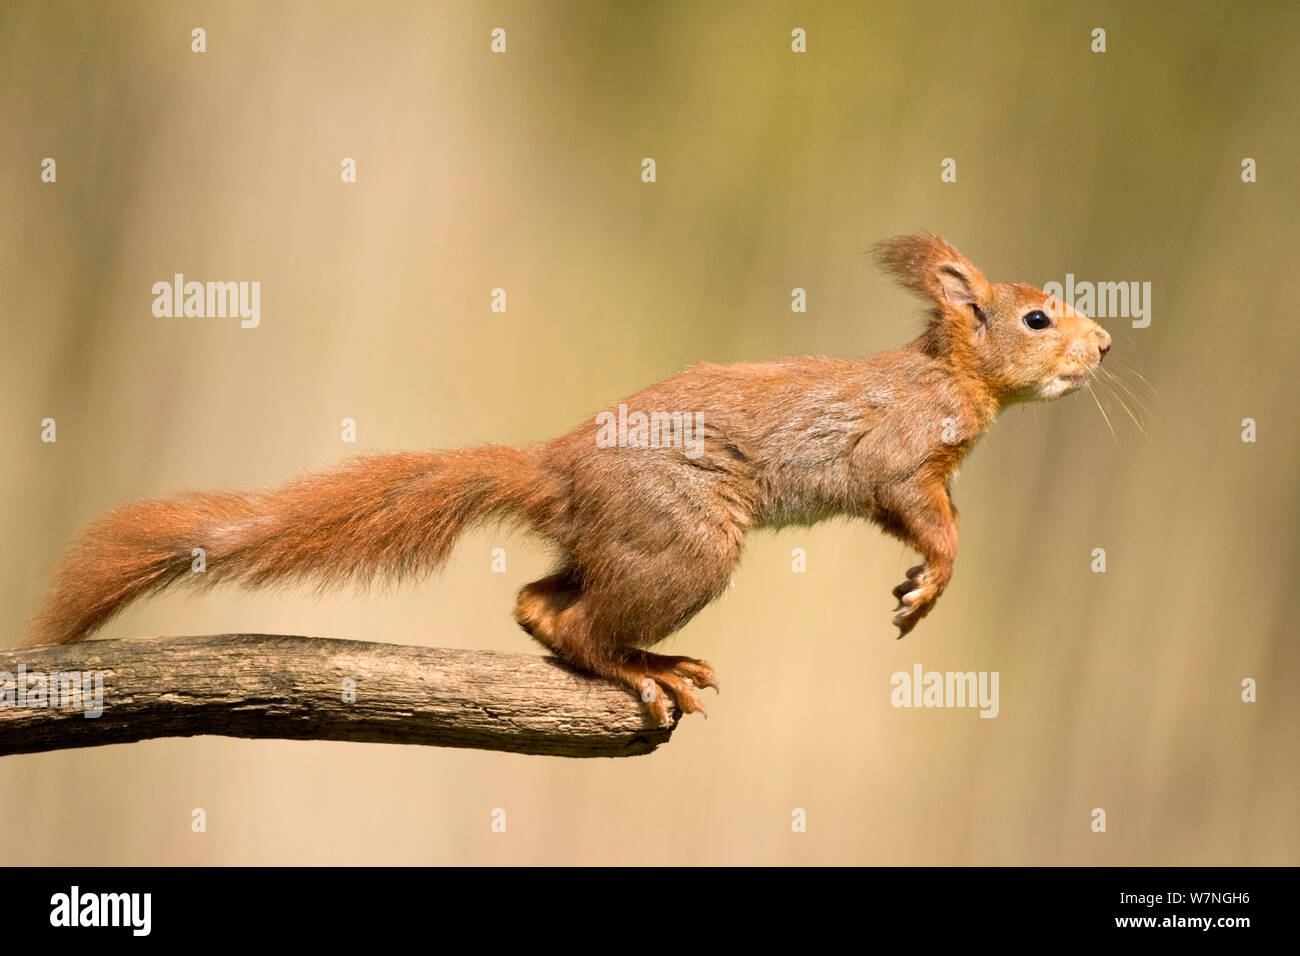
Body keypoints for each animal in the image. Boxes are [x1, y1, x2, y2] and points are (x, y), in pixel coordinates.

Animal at [26, 234, 1111, 725]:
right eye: (1036, 318)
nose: (1104, 344)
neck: (950, 376)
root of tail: (557, 466)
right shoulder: (896, 455)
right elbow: (924, 514)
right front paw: (936, 578)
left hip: (625, 543)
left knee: (541, 605)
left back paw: (637, 657)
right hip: (686, 543)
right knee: (584, 622)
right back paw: (643, 669)